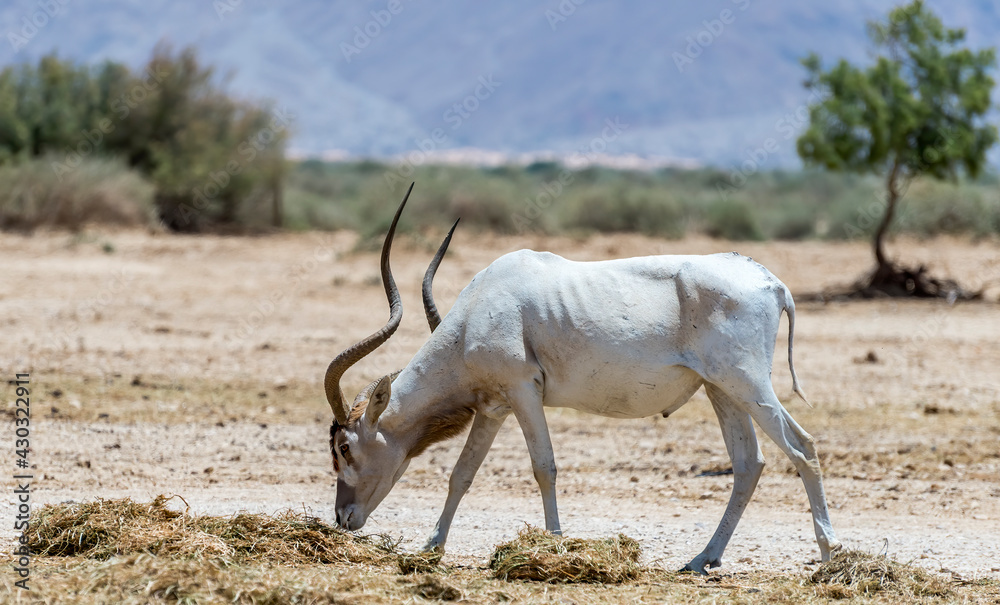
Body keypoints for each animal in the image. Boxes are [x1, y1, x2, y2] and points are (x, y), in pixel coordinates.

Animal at [326, 184, 841, 573]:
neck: (477, 310)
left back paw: (829, 554)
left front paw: (553, 545)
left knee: (803, 447)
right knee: (749, 463)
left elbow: (544, 468)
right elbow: (461, 474)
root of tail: (771, 283)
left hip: (748, 385)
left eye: (344, 448)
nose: (342, 518)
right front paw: (431, 548)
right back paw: (702, 559)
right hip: (722, 390)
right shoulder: (493, 407)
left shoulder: (523, 392)